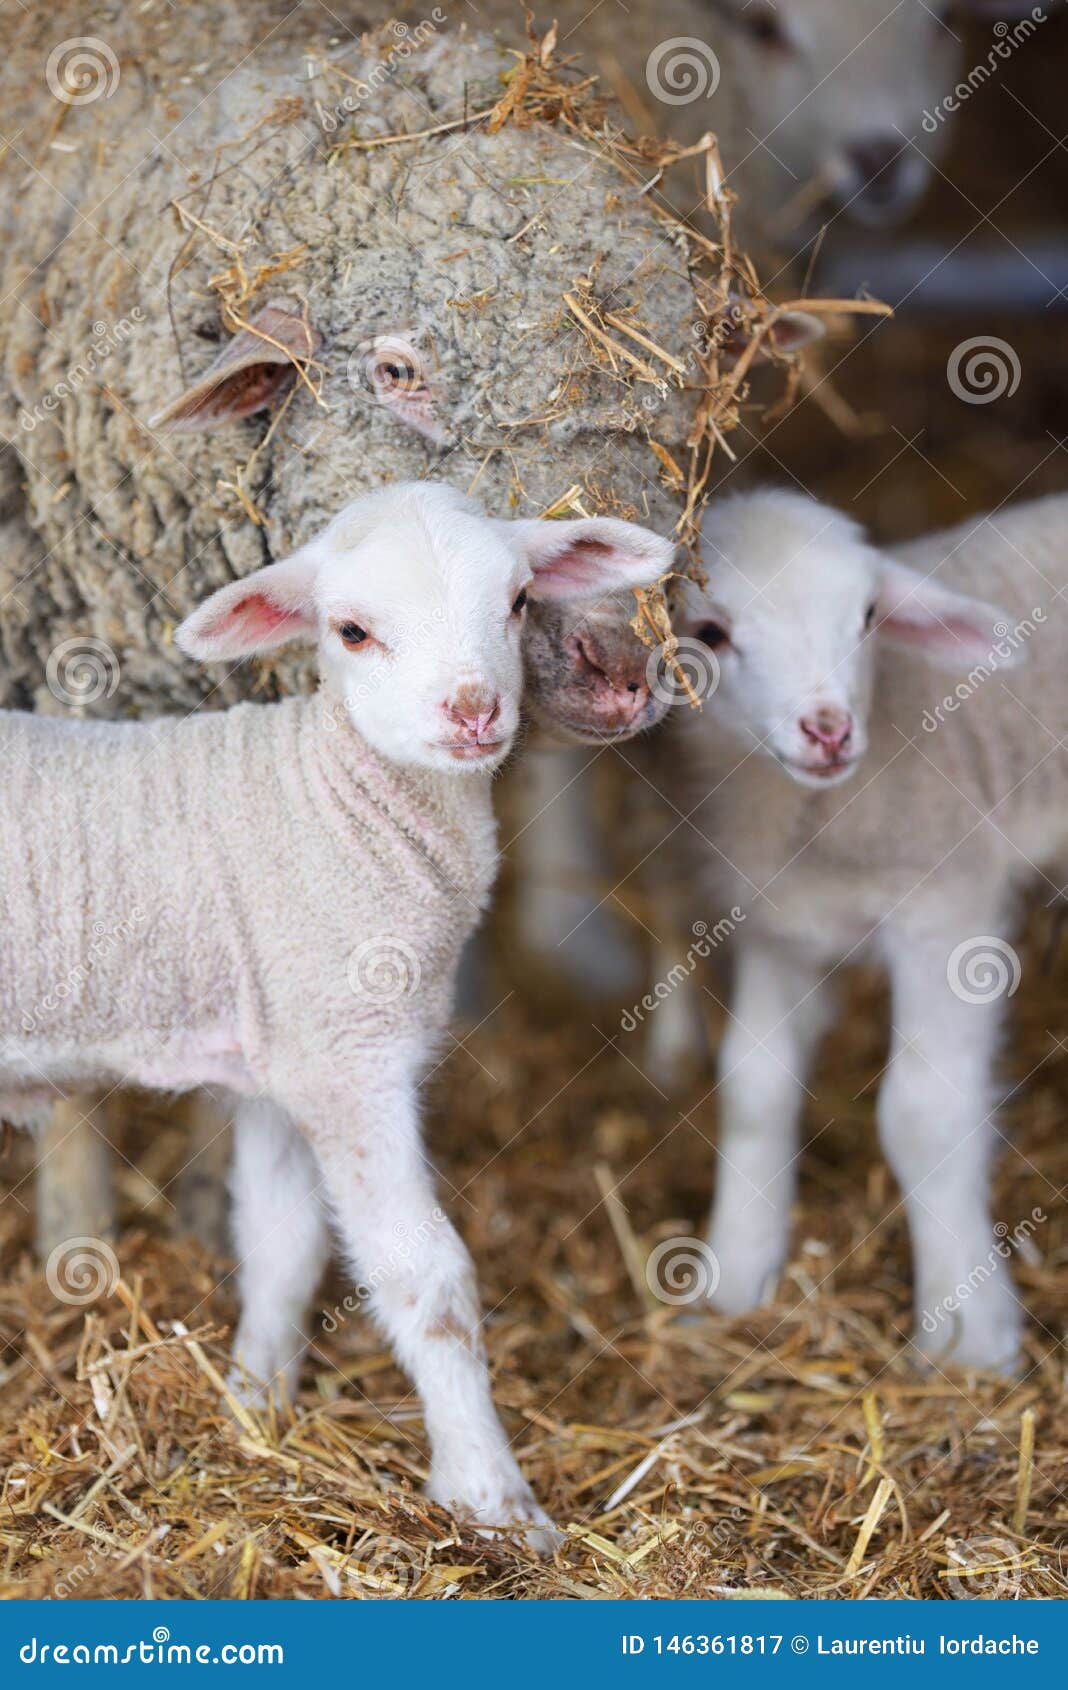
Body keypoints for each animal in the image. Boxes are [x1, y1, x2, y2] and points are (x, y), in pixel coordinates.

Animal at [3, 479, 675, 1544]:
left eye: (520, 600)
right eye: (352, 631)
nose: (474, 711)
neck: (333, 800)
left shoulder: (293, 1056)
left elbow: (283, 1247)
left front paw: (253, 1411)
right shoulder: (349, 1062)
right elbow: (424, 1276)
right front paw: (494, 1503)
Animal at [643, 487, 1064, 1373]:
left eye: (868, 616)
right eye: (710, 633)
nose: (829, 729)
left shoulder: (947, 912)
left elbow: (922, 1114)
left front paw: (967, 1336)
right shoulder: (780, 927)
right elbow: (754, 1087)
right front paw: (732, 1281)